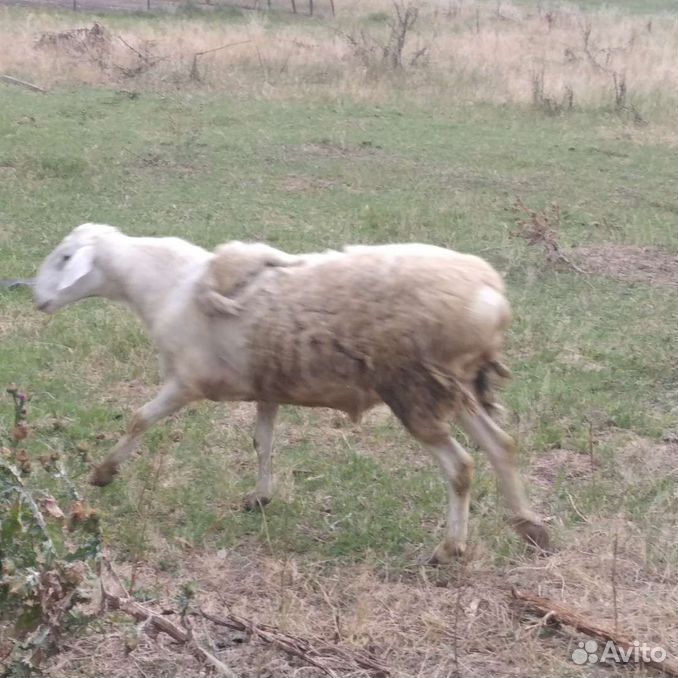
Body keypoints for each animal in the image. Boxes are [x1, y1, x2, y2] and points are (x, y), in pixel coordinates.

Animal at [34, 223, 548, 564]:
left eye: (64, 258)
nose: (36, 298)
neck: (169, 286)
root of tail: (491, 295)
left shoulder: (186, 382)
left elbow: (140, 417)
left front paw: (104, 472)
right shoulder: (268, 384)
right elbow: (263, 441)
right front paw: (260, 497)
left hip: (414, 390)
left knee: (461, 466)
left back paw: (450, 547)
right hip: (454, 388)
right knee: (501, 445)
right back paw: (530, 527)